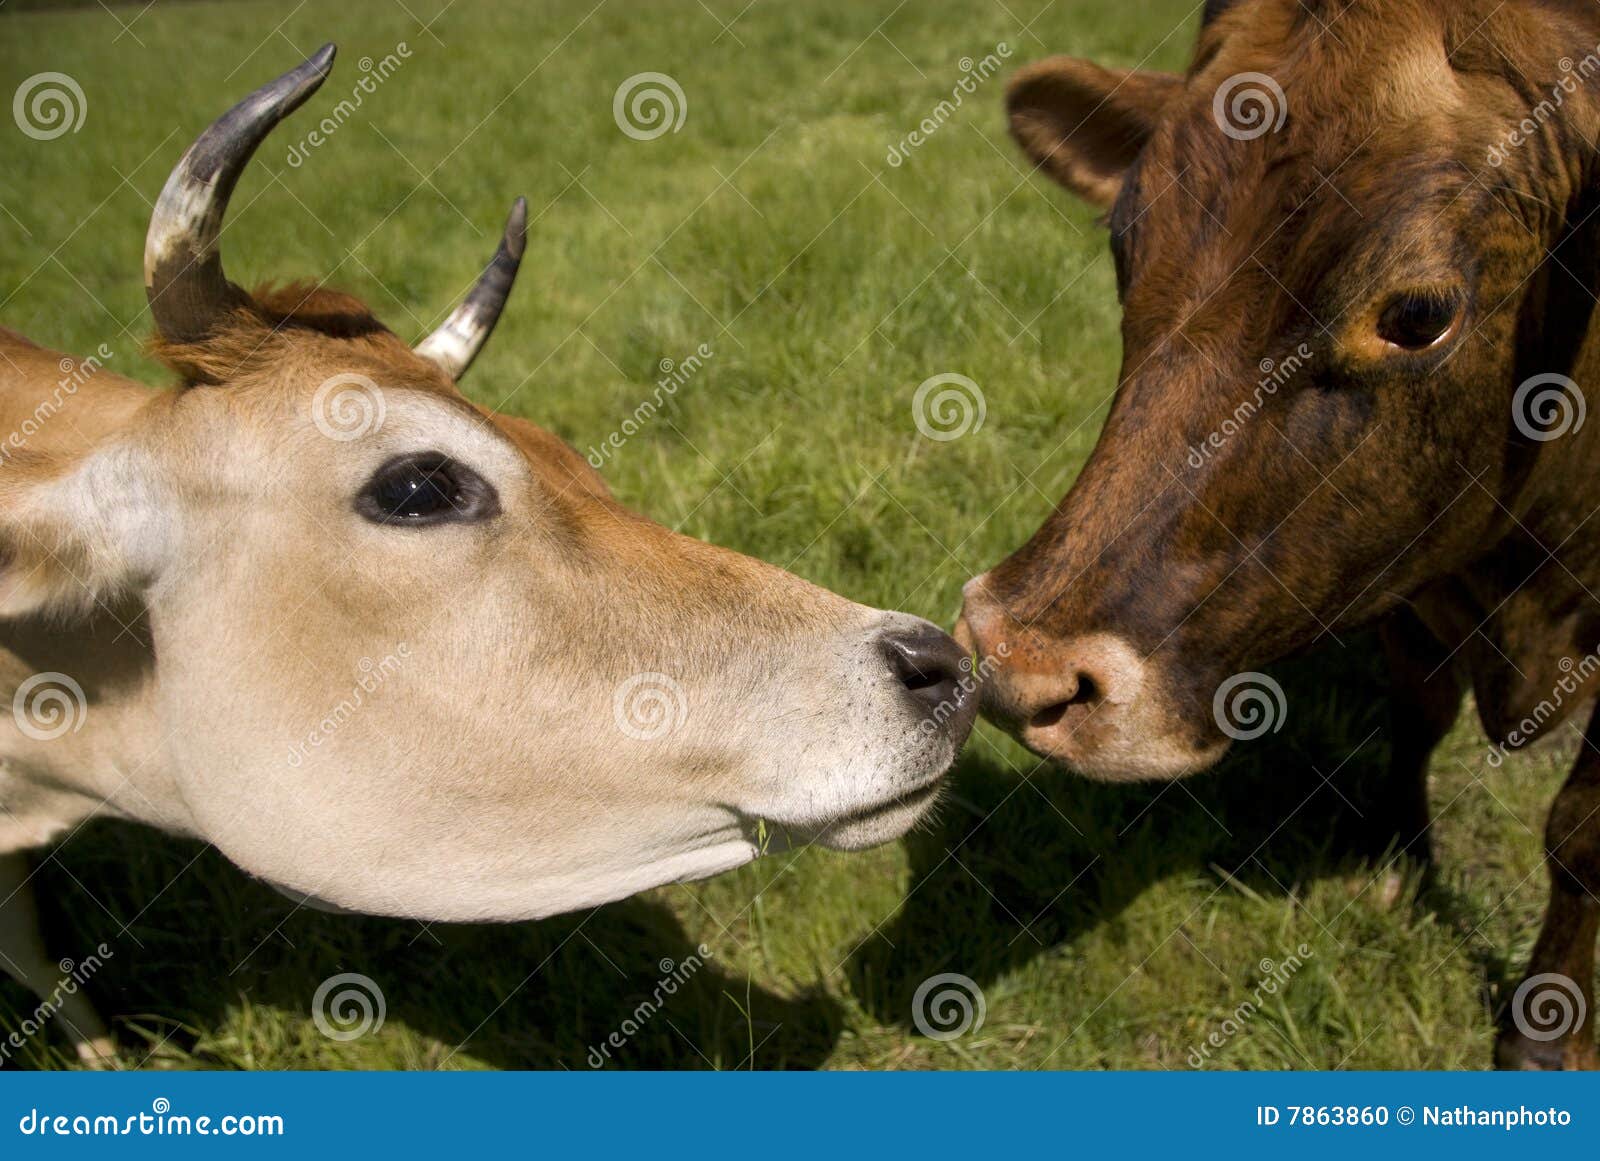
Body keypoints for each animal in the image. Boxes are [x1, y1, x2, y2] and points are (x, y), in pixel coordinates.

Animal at [956, 0, 1600, 1069]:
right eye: (1126, 243)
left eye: (1417, 313)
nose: (1017, 662)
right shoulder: (1405, 576)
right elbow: (1417, 708)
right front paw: (1393, 850)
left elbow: (1578, 829)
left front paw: (1549, 1030)